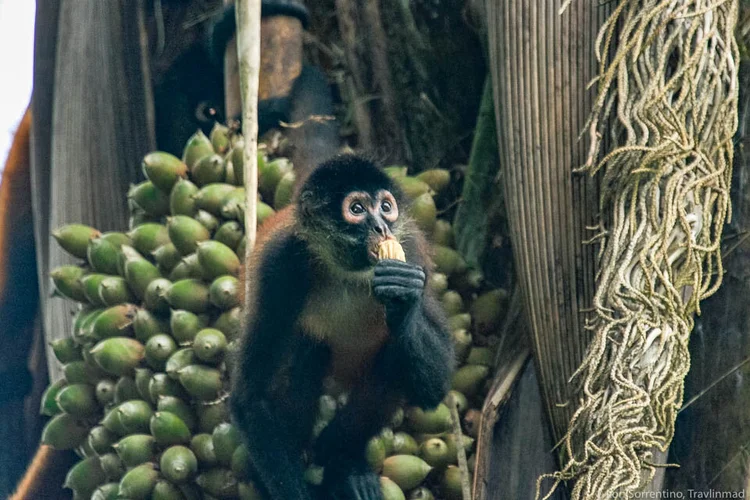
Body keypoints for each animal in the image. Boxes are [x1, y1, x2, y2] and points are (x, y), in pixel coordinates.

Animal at [230, 154, 456, 500]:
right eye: (357, 209)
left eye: (385, 206)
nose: (381, 226)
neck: (347, 273)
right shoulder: (279, 262)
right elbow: (250, 396)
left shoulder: (412, 251)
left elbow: (435, 388)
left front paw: (402, 296)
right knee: (308, 349)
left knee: (394, 356)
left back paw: (342, 462)